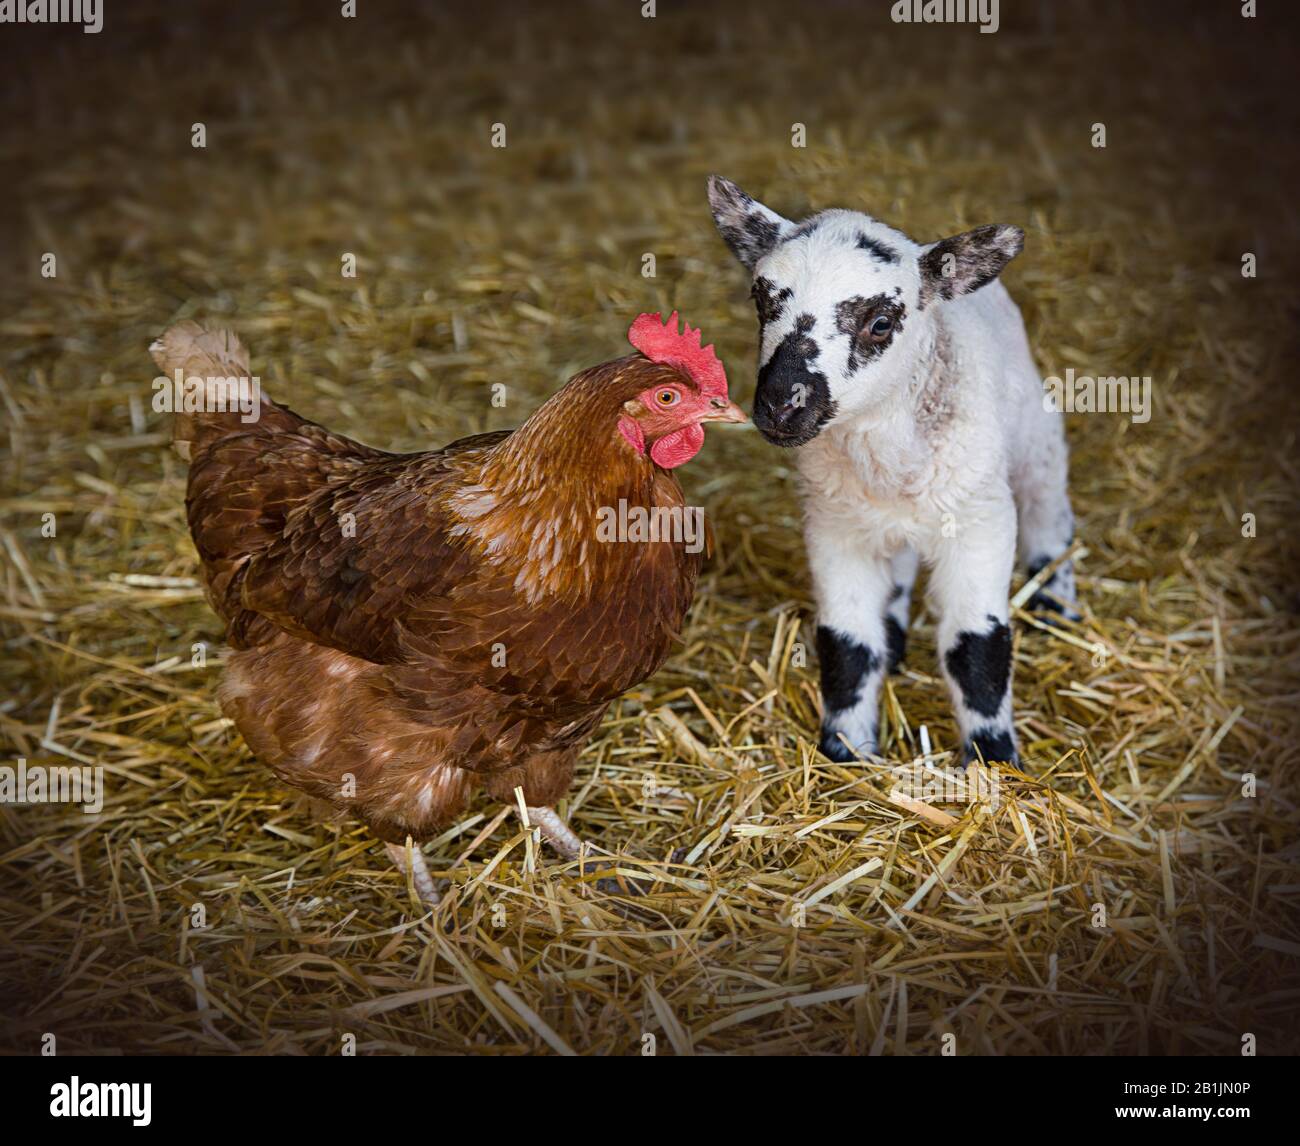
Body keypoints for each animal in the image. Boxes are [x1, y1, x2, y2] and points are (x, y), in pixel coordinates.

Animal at [708, 176, 1078, 767]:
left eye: (880, 323)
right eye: (761, 300)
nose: (781, 406)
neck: (888, 460)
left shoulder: (980, 524)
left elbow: (977, 648)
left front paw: (994, 761)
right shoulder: (835, 528)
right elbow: (848, 644)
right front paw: (846, 752)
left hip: (1034, 434)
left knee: (1049, 508)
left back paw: (1054, 604)